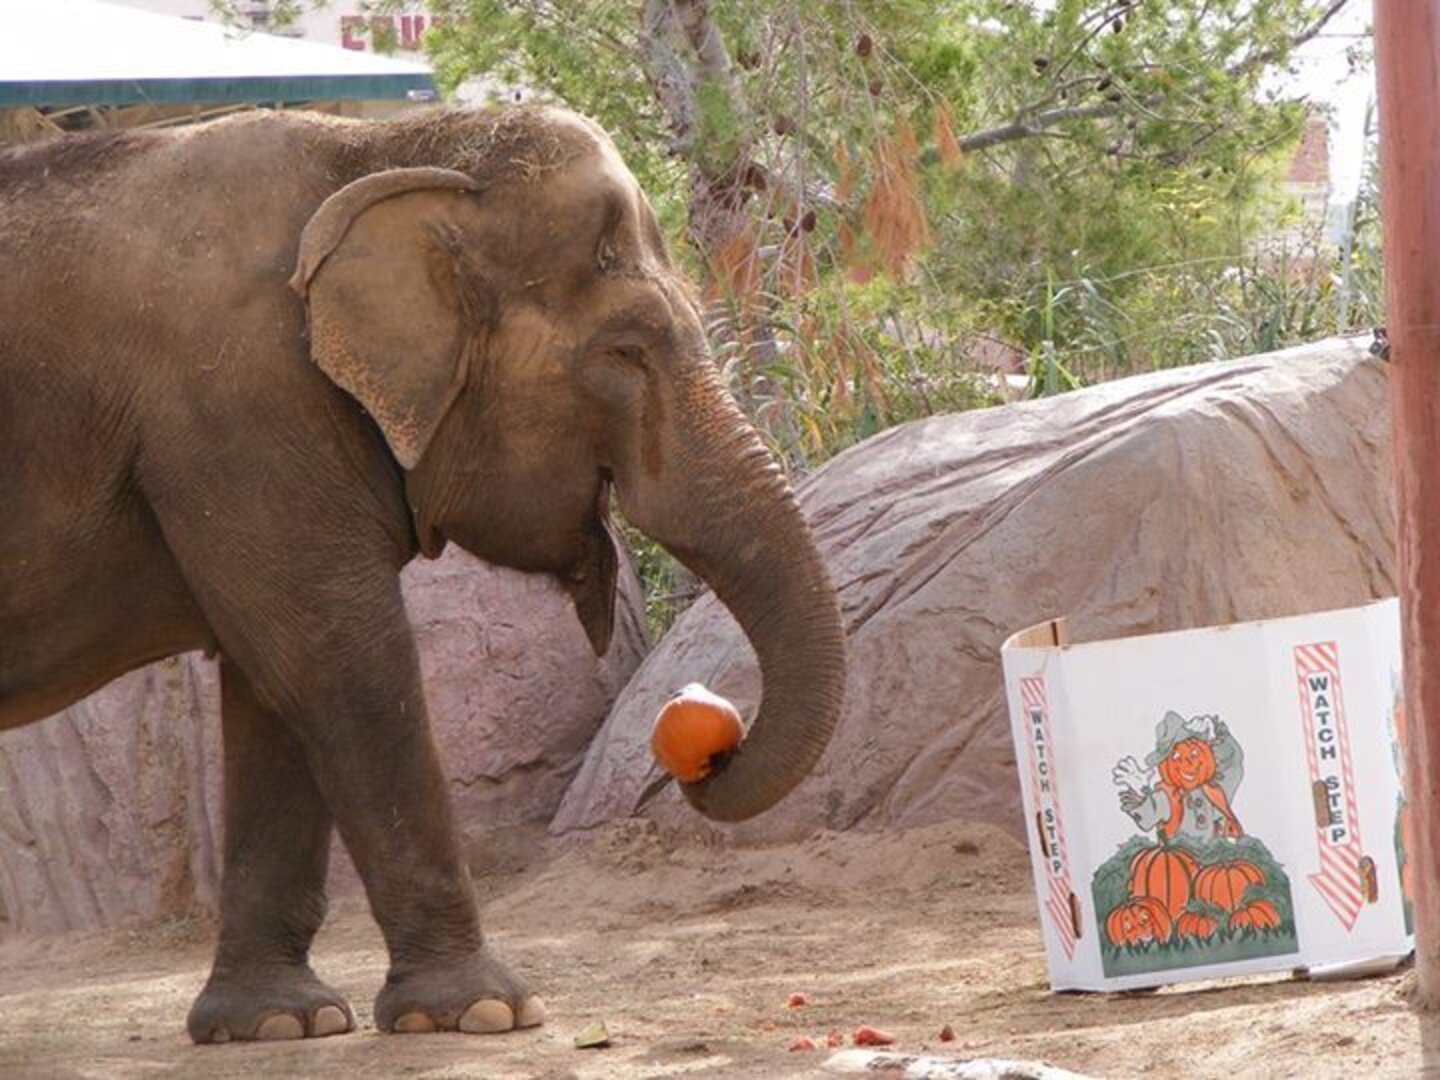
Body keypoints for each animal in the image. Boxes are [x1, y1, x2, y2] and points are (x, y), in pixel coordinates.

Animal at [0, 105, 846, 1043]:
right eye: (625, 351)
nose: (707, 751)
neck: (390, 149)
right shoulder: (240, 409)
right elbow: (334, 659)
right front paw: (486, 1010)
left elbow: (272, 685)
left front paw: (280, 1025)